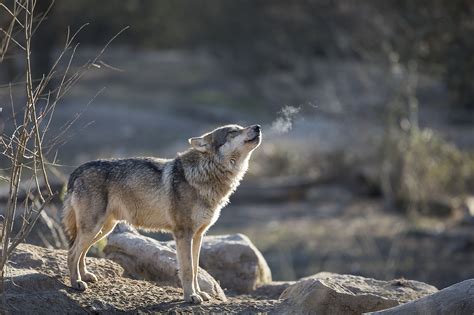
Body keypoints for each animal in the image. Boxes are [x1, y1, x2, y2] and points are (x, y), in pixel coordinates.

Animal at [61, 123, 262, 304]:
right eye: (232, 131)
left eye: (241, 127)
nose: (258, 127)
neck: (205, 173)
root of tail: (77, 170)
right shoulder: (183, 234)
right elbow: (187, 269)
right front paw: (191, 297)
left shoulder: (198, 236)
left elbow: (195, 268)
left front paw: (199, 294)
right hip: (93, 228)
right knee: (72, 253)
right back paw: (76, 283)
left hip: (103, 229)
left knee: (81, 253)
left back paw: (85, 276)